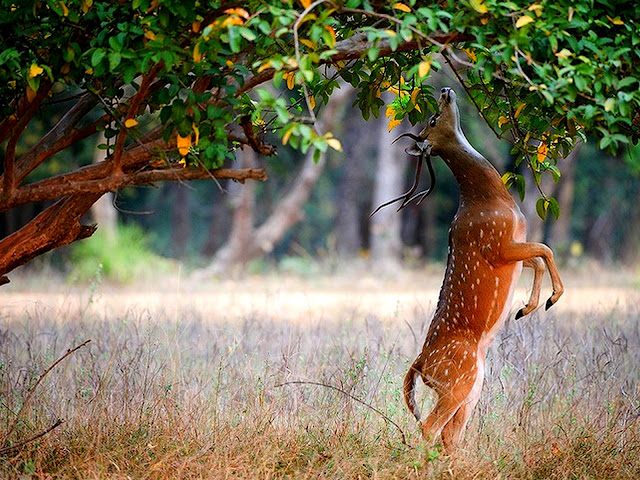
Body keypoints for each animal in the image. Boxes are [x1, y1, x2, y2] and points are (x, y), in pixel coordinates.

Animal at [376, 87, 564, 455]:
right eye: (433, 118)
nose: (445, 91)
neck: (492, 201)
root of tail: (420, 363)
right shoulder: (497, 244)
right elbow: (545, 249)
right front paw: (550, 300)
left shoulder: (514, 244)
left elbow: (538, 256)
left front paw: (527, 307)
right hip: (456, 382)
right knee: (429, 428)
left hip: (471, 388)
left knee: (449, 434)